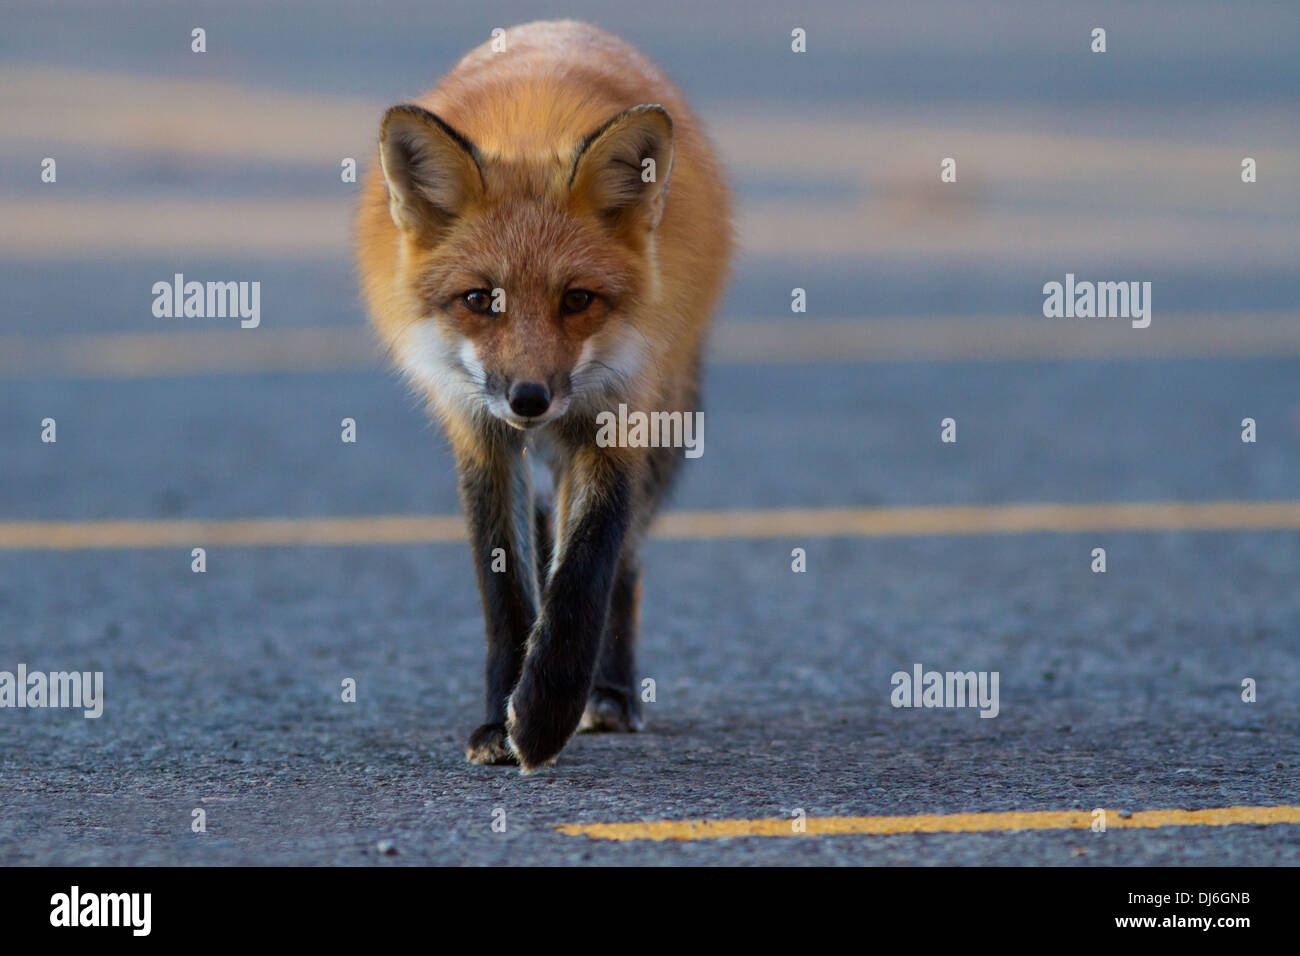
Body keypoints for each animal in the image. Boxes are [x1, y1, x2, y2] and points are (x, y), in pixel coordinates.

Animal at [356, 20, 732, 772]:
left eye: (578, 300)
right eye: (480, 300)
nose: (529, 398)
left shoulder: (617, 419)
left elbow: (586, 569)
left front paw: (545, 712)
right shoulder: (481, 433)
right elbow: (504, 587)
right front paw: (499, 719)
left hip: (665, 428)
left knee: (626, 562)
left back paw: (610, 693)